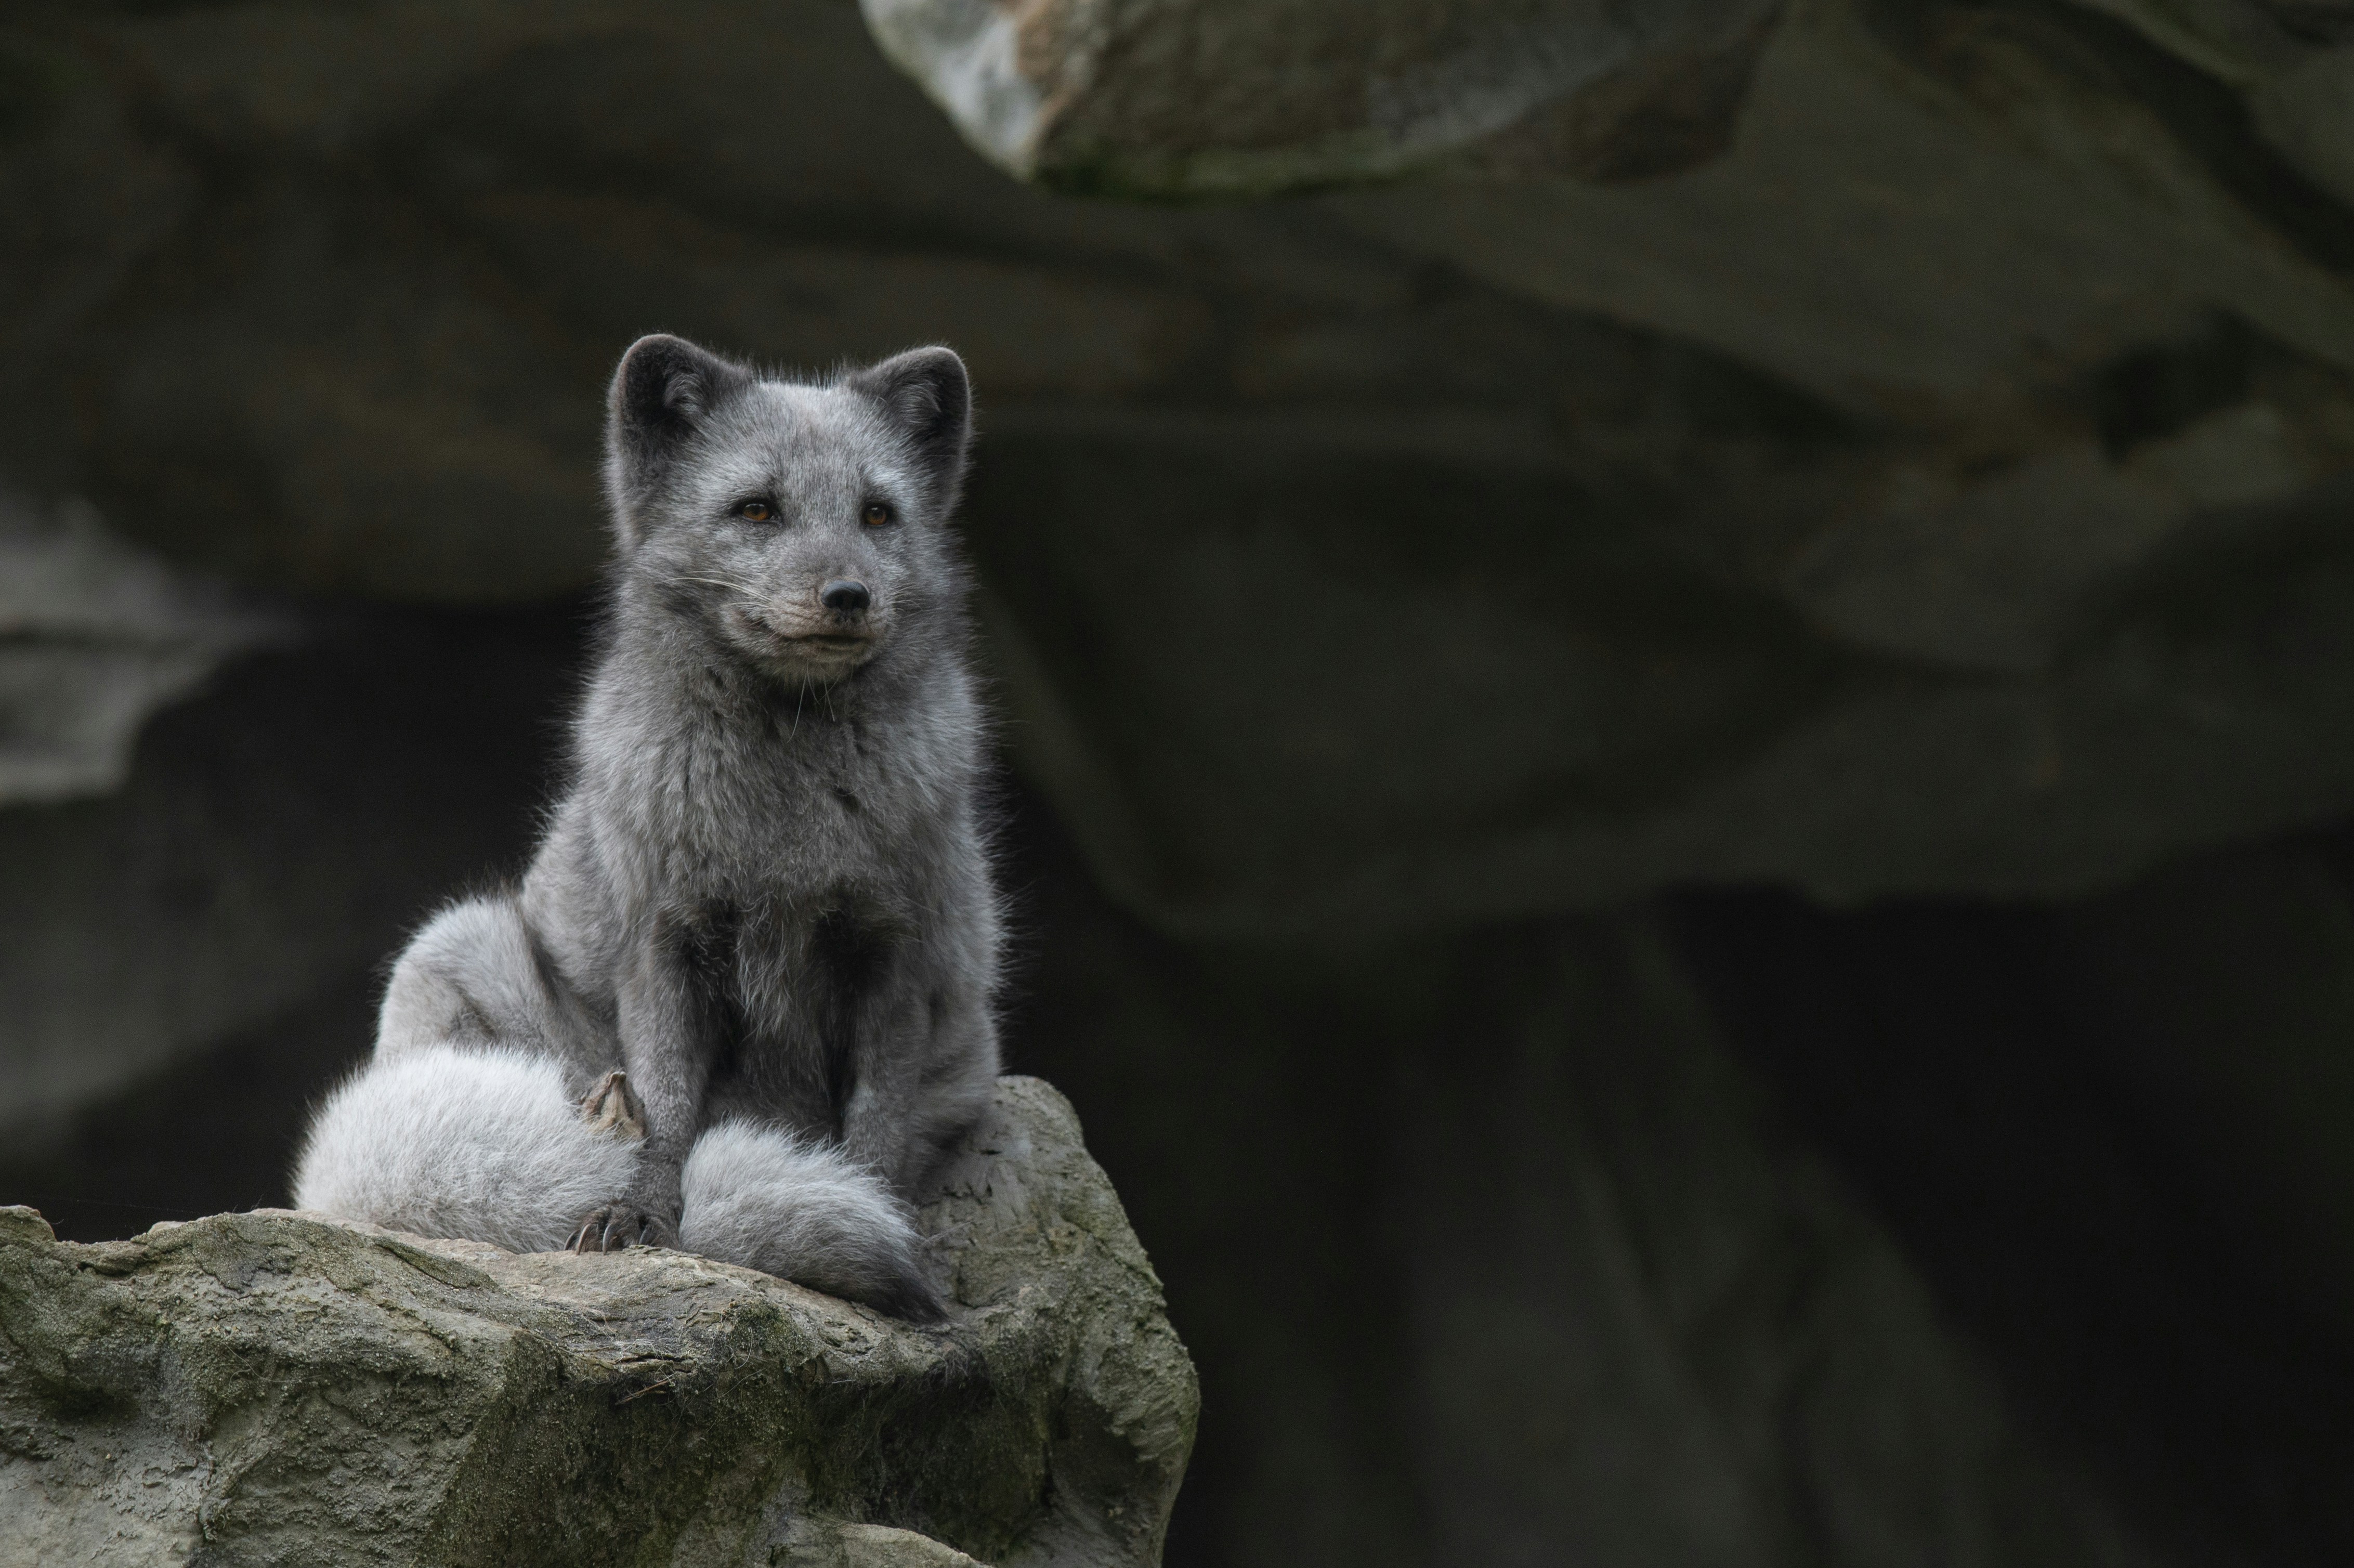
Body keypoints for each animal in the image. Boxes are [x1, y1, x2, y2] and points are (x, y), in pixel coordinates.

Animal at [291, 335, 1001, 1321]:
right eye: (757, 508)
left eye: (876, 513)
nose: (848, 594)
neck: (784, 815)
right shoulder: (664, 944)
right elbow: (665, 1107)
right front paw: (641, 1219)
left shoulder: (893, 961)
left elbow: (875, 1127)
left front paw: (871, 1209)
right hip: (452, 947)